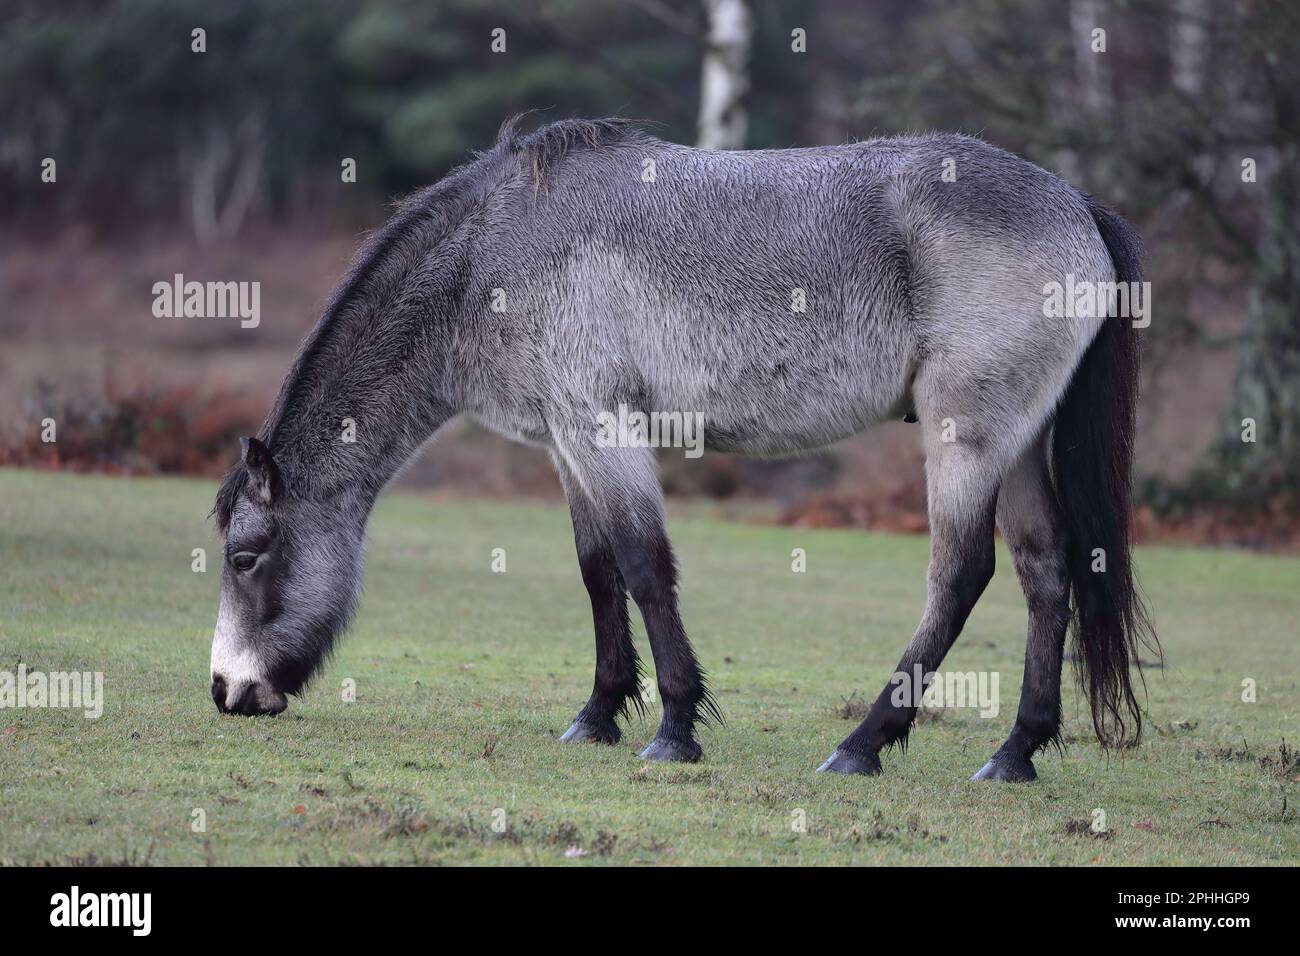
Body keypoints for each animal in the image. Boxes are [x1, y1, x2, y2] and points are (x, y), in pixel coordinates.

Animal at [209, 117, 1157, 781]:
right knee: (1045, 572)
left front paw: (672, 730)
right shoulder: (566, 439)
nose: (226, 690)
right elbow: (597, 568)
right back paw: (1016, 753)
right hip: (1023, 442)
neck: (491, 253)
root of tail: (1077, 205)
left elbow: (642, 564)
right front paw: (597, 716)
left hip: (970, 437)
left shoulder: (603, 427)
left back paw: (863, 744)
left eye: (247, 556)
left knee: (961, 575)